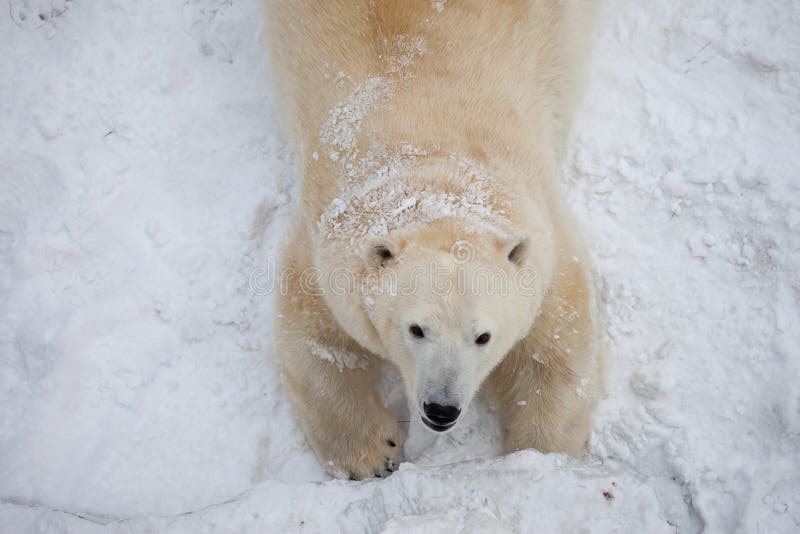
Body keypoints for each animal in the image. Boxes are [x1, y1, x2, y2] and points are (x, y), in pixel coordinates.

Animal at [263, 0, 607, 480]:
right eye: (416, 328)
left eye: (483, 336)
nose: (441, 410)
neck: (432, 160)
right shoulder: (325, 241)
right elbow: (318, 339)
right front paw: (373, 455)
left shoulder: (542, 234)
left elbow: (555, 344)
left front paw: (539, 454)